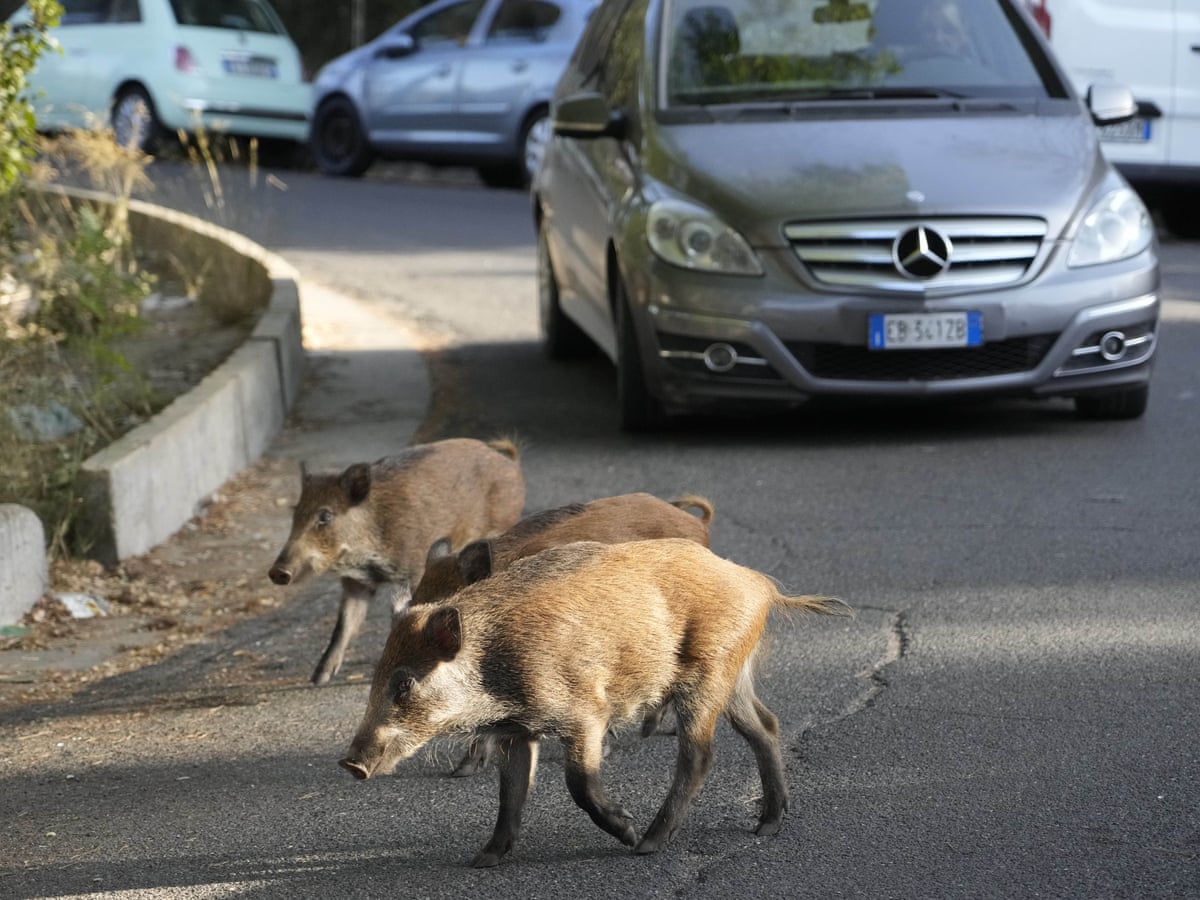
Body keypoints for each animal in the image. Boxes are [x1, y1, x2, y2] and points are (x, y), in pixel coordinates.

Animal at [267, 437, 525, 685]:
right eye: (295, 513)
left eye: (325, 516)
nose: (277, 572)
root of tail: (508, 461)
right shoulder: (357, 583)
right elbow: (344, 625)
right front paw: (318, 679)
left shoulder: (414, 569)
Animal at [339, 538, 852, 867]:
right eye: (377, 677)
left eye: (404, 683)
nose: (349, 763)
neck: (492, 663)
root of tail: (760, 584)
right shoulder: (516, 730)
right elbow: (510, 791)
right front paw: (483, 860)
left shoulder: (585, 711)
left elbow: (578, 782)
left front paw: (625, 829)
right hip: (734, 679)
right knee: (766, 726)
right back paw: (767, 826)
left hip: (707, 677)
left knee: (700, 754)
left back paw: (648, 844)